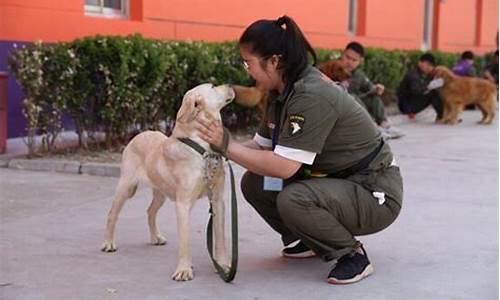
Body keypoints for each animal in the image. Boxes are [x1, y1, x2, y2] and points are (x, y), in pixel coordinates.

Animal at [102, 83, 235, 280]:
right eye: (212, 86)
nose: (231, 85)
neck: (202, 149)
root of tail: (140, 134)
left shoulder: (218, 200)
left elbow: (220, 237)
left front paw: (223, 264)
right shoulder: (183, 204)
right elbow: (184, 240)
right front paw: (184, 269)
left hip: (160, 192)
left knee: (150, 211)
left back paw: (155, 237)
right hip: (126, 186)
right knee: (112, 213)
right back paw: (108, 243)